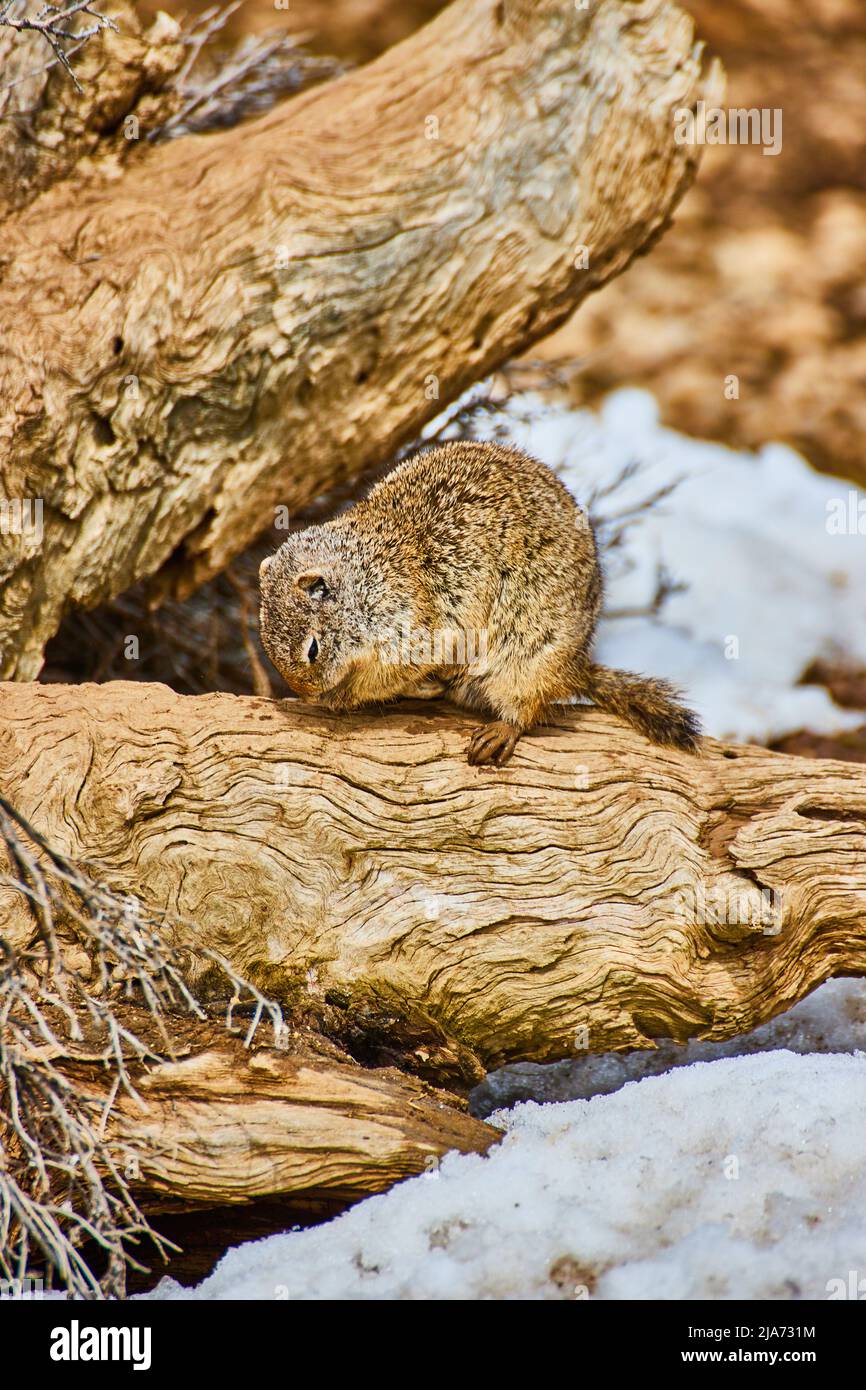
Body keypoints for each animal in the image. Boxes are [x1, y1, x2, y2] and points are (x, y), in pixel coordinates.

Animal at [258, 439, 701, 766]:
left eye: (312, 649)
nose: (308, 693)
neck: (371, 576)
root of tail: (578, 667)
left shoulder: (416, 630)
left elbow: (387, 675)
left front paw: (343, 696)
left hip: (529, 658)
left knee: (527, 707)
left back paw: (499, 730)